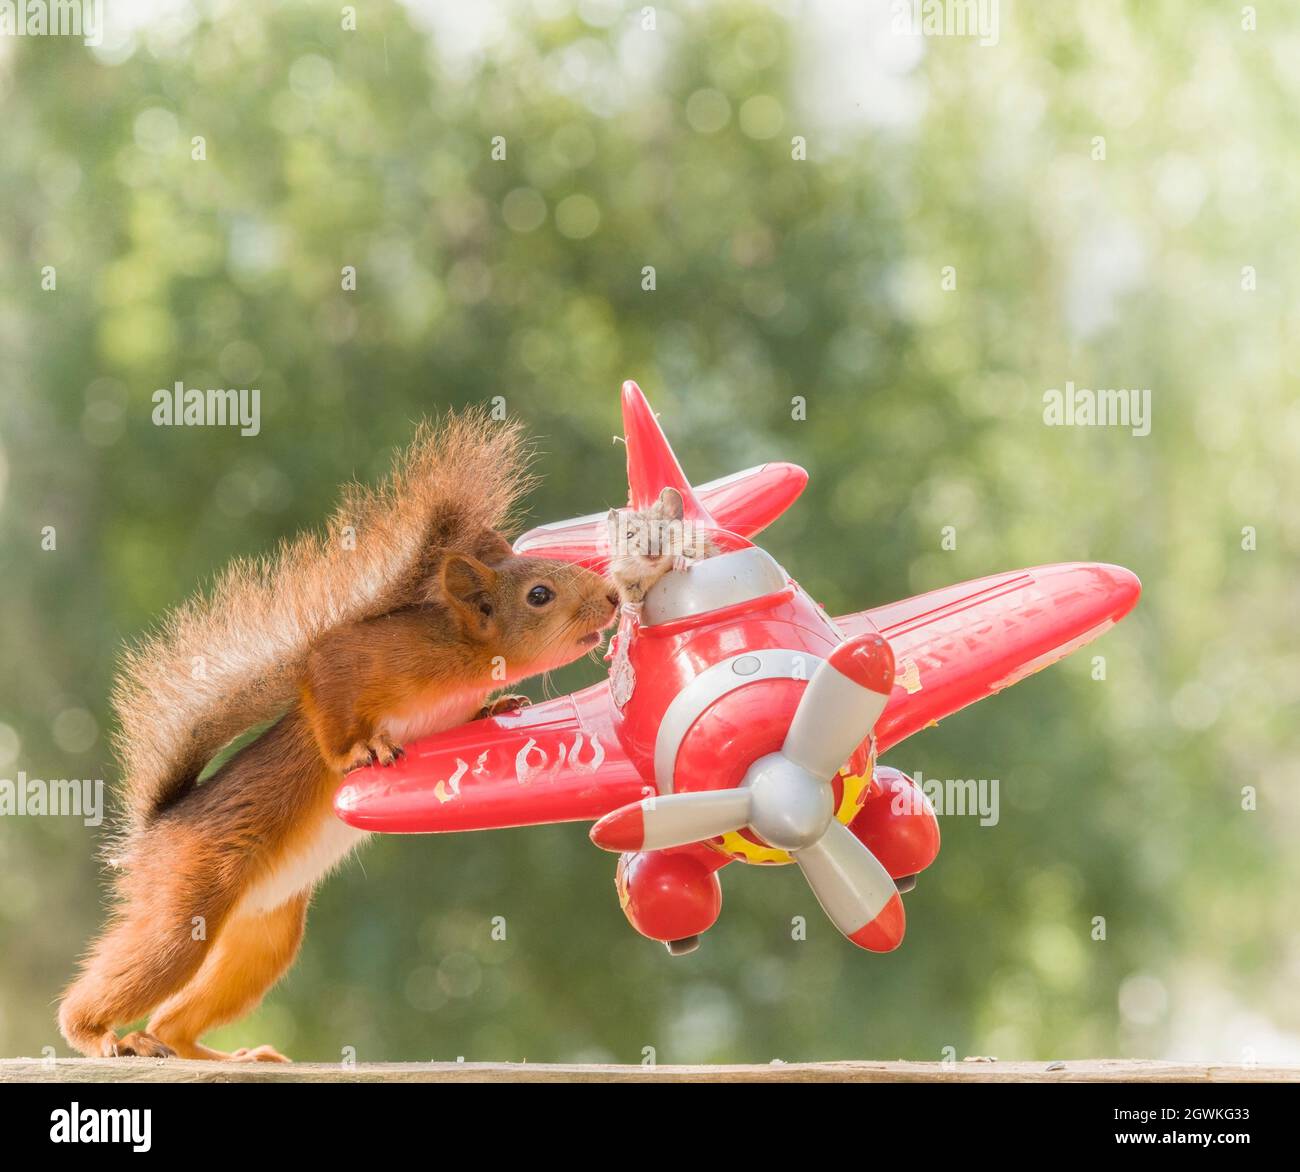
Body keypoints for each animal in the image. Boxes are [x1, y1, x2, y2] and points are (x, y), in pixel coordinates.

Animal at [58, 411, 618, 1062]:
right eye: (539, 596)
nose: (612, 597)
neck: (465, 655)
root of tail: (156, 830)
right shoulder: (361, 656)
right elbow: (323, 683)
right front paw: (357, 750)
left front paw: (500, 704)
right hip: (184, 903)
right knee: (133, 976)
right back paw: (98, 1035)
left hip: (264, 940)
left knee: (176, 1022)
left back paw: (232, 1055)